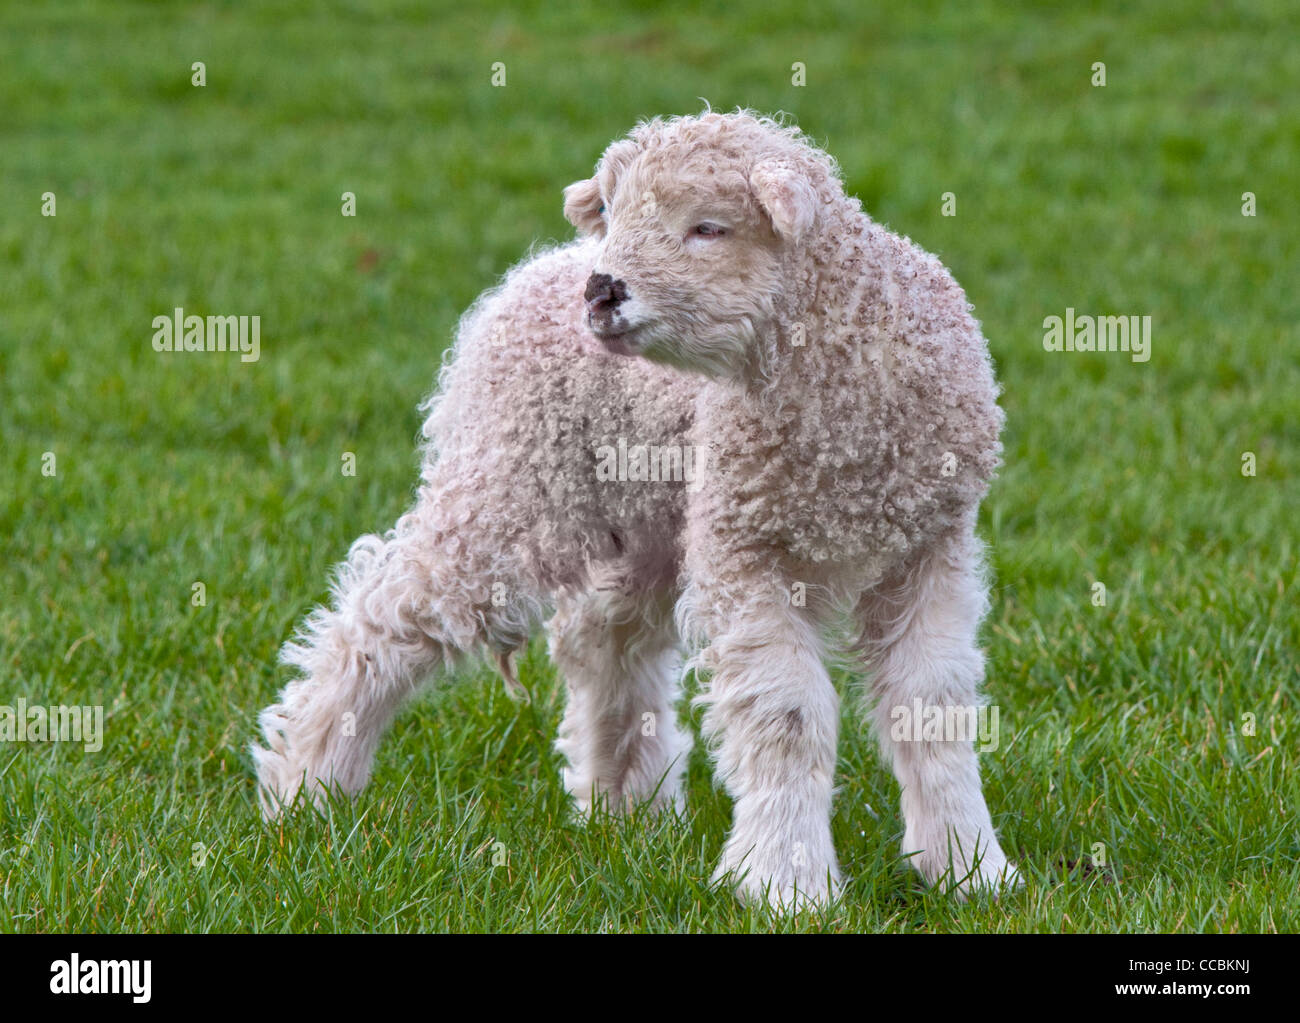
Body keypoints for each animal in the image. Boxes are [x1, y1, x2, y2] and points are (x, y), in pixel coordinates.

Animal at [252, 110, 1019, 911]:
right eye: (616, 214)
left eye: (709, 227)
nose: (602, 290)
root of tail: (534, 269)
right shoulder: (743, 547)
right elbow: (787, 715)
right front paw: (788, 883)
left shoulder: (931, 546)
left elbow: (933, 704)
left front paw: (968, 868)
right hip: (508, 487)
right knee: (383, 618)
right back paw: (304, 786)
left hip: (645, 522)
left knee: (606, 642)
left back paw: (624, 808)